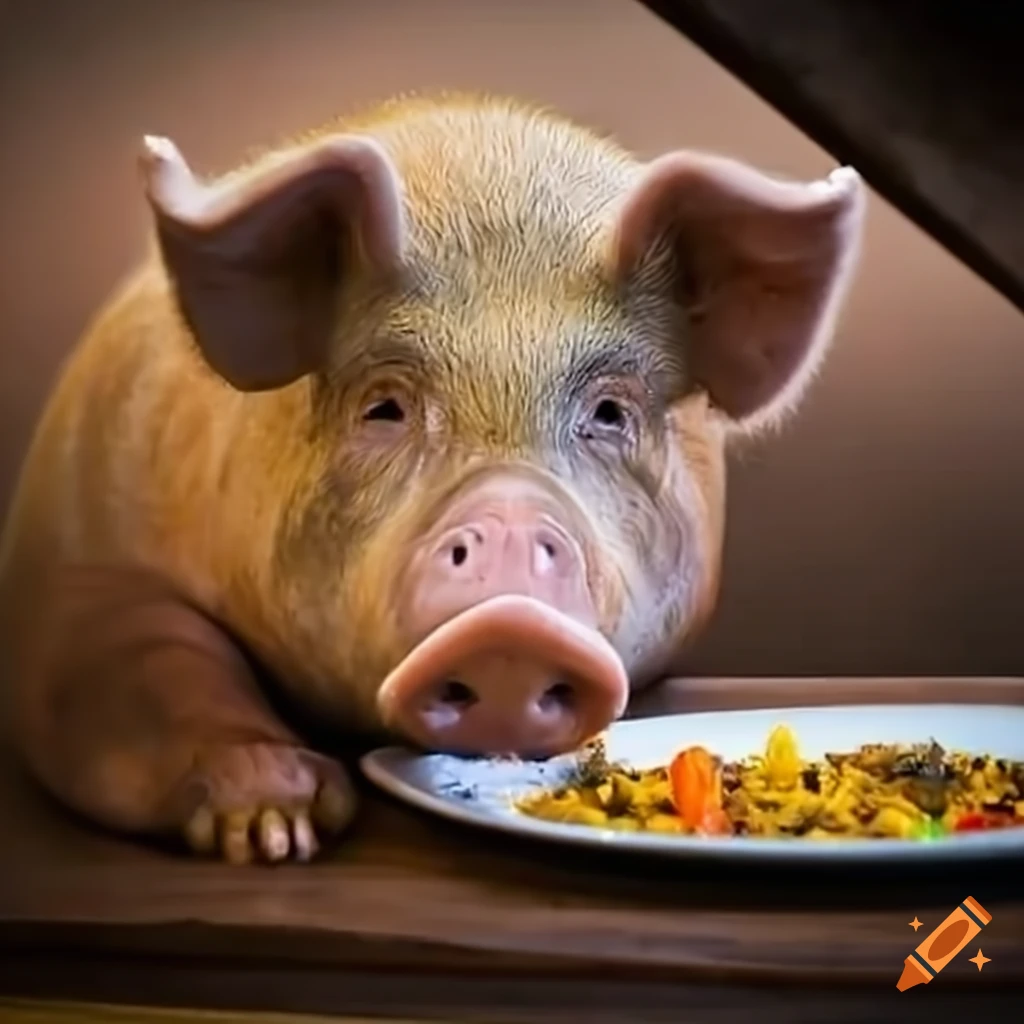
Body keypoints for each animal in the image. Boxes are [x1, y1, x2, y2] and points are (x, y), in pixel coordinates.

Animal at [0, 94, 865, 864]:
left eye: (611, 411)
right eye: (385, 407)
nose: (508, 624)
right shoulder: (83, 565)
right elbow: (146, 653)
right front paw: (280, 829)